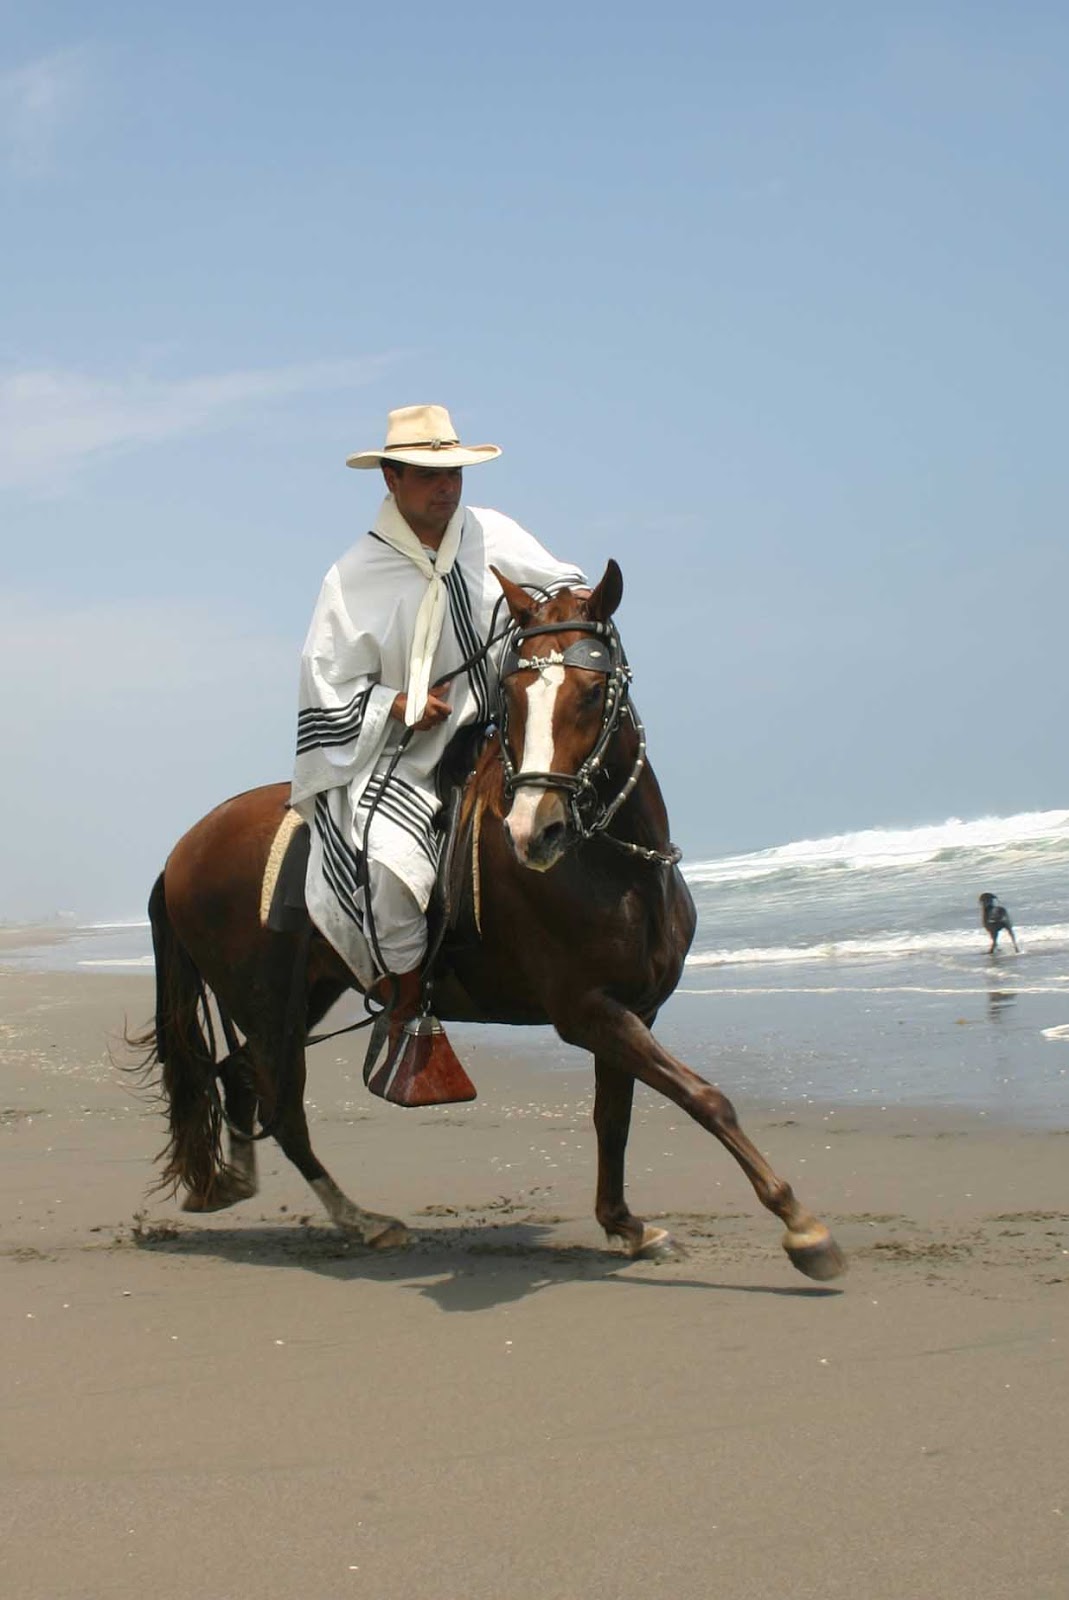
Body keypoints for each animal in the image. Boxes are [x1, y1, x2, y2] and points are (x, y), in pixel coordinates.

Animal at [133, 560, 845, 1280]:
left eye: (593, 692)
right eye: (514, 695)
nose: (535, 831)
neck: (618, 868)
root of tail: (181, 852)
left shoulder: (634, 1010)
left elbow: (613, 1119)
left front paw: (625, 1224)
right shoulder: (587, 1010)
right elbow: (703, 1097)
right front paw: (802, 1227)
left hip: (300, 996)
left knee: (241, 1076)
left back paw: (233, 1182)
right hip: (266, 1002)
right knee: (280, 1106)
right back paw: (363, 1221)